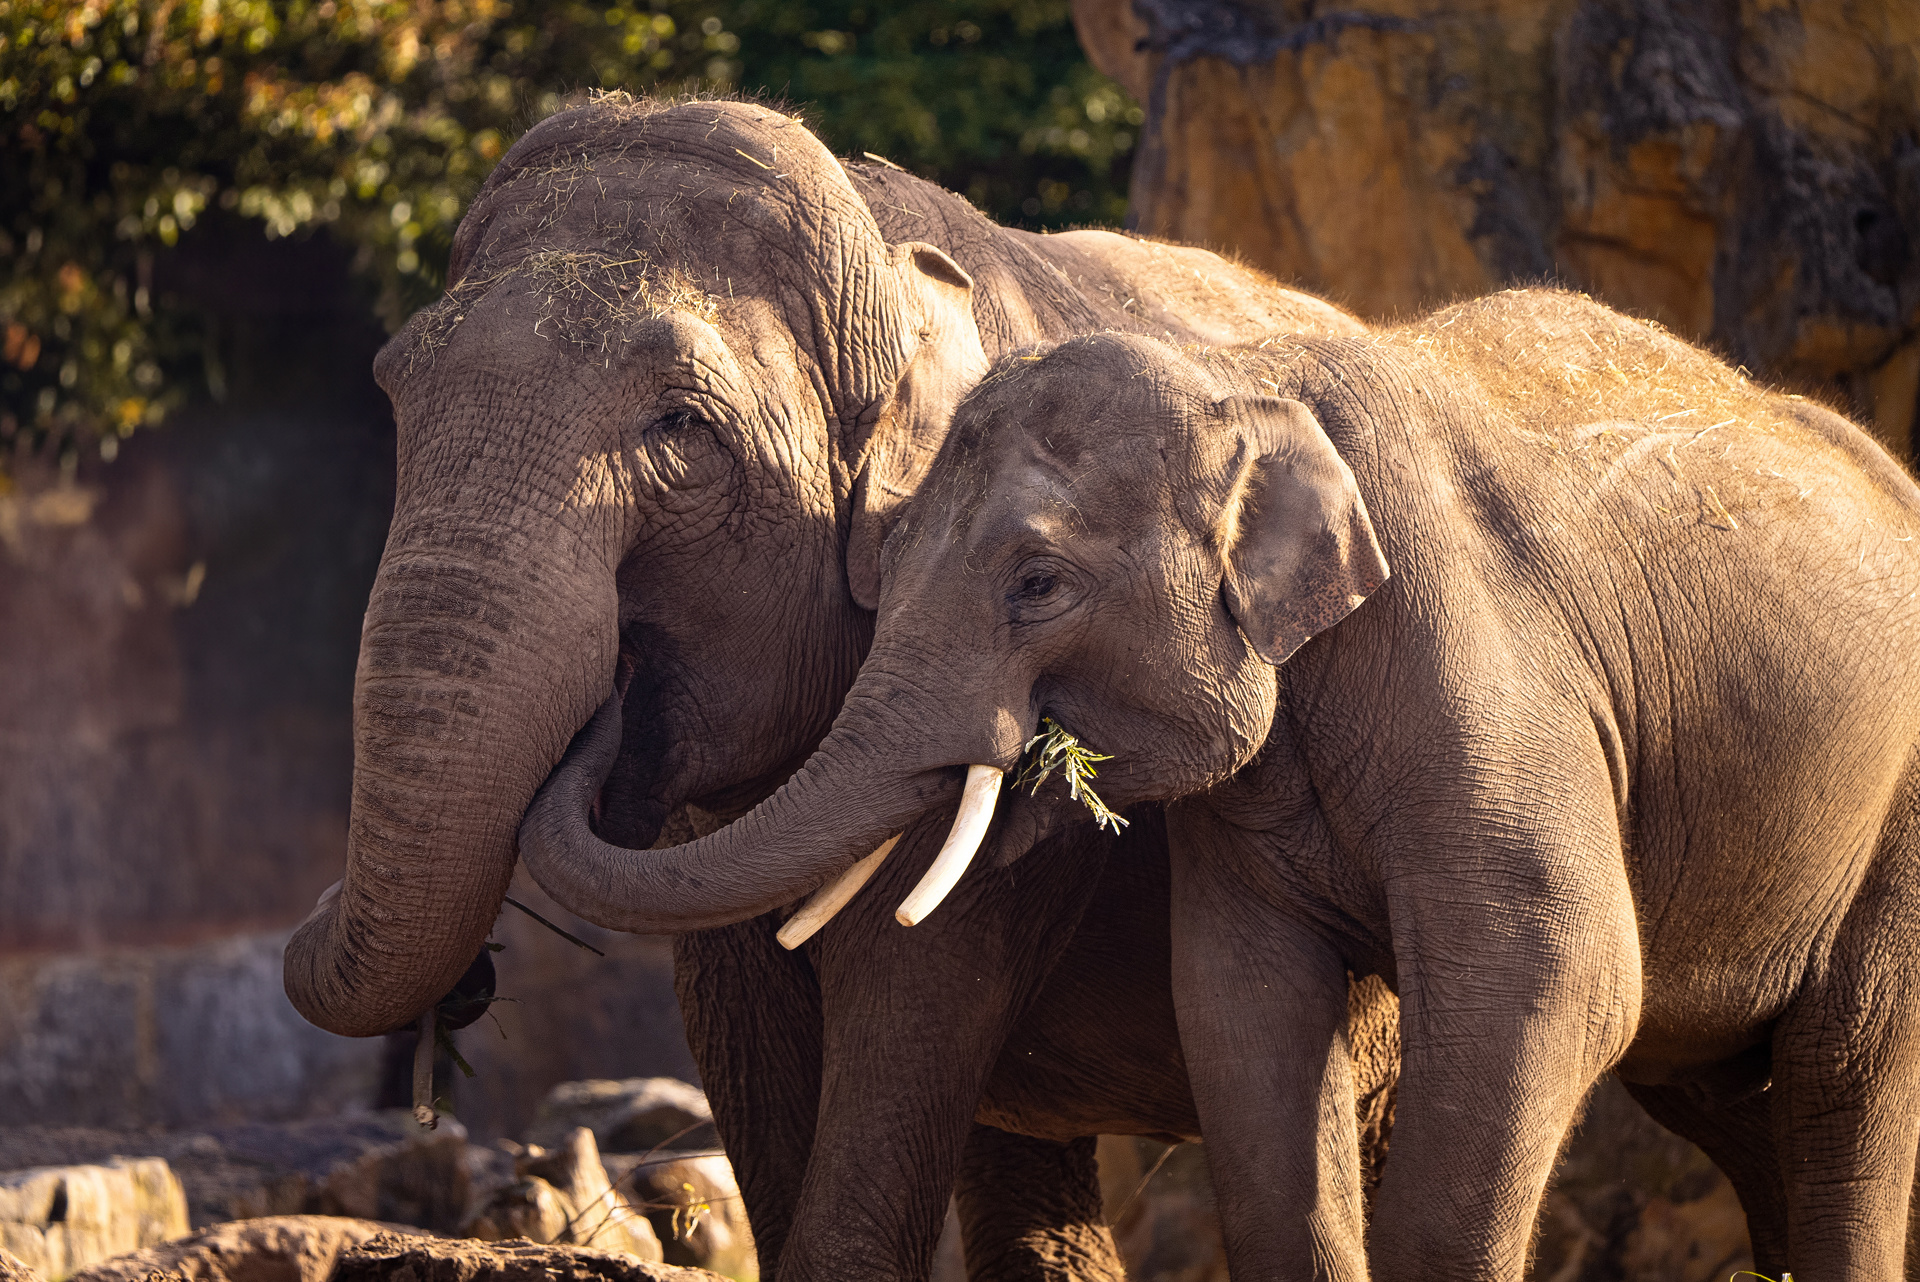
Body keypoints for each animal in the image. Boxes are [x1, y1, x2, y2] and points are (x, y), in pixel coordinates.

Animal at [282, 93, 1389, 1281]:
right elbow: (749, 1052)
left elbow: (910, 1009)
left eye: (680, 426)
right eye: (398, 392)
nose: (470, 987)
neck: (889, 262)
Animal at [525, 287, 1920, 1278]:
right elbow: (1242, 997)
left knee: (1841, 1082)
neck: (1246, 382)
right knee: (1732, 1094)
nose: (617, 682)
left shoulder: (1492, 669)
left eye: (1038, 582)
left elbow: (1560, 970)